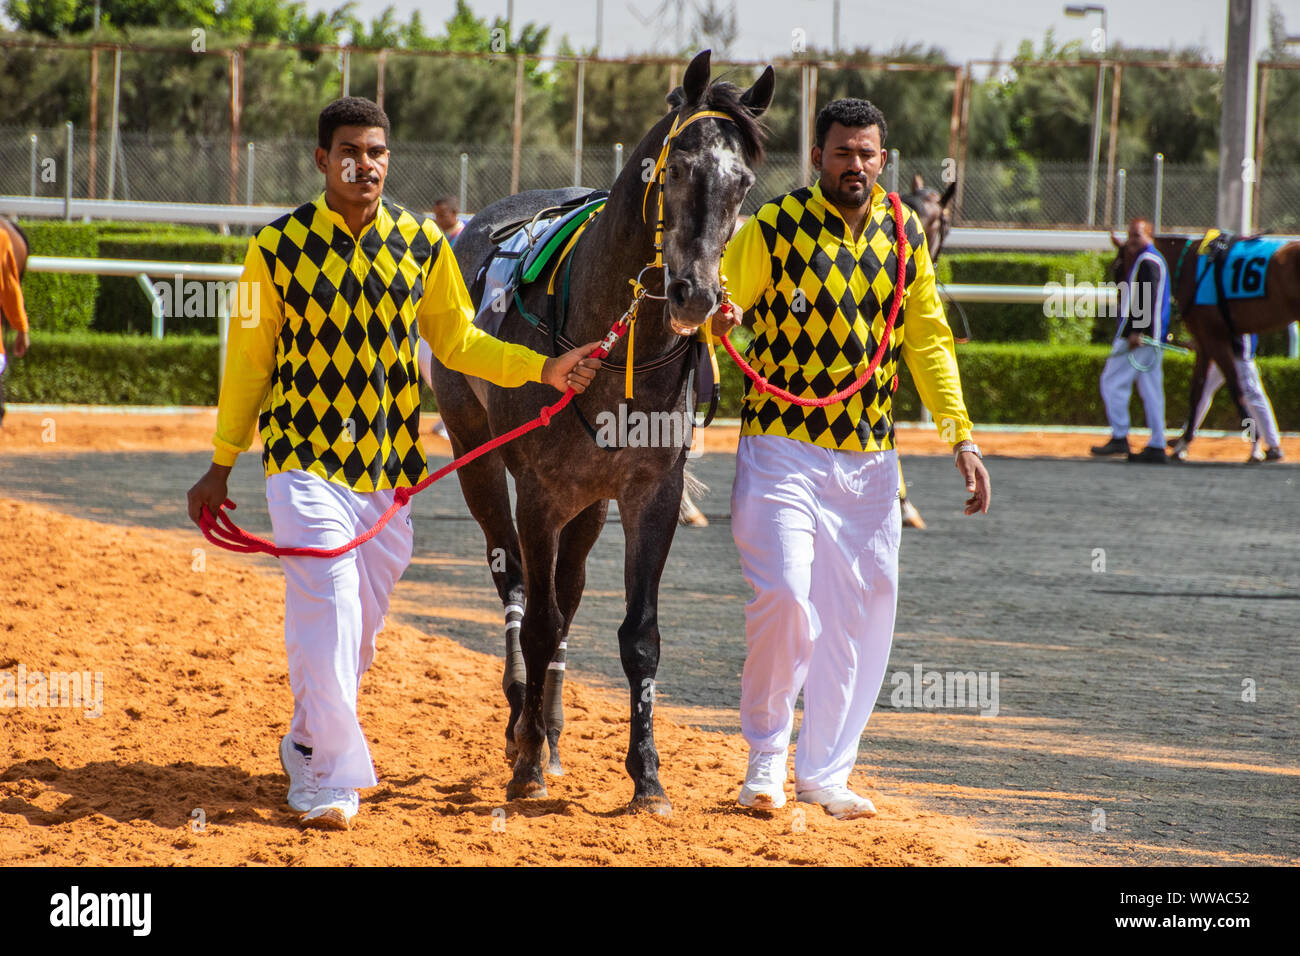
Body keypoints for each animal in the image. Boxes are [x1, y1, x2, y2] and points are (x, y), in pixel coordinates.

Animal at [432, 50, 774, 814]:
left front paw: (646, 777)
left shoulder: (650, 491)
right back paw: (521, 723)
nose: (696, 296)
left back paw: (551, 730)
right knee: (517, 585)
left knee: (567, 590)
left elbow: (637, 634)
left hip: (587, 502)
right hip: (477, 460)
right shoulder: (537, 491)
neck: (613, 343)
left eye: (742, 182)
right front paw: (526, 762)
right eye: (676, 168)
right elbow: (537, 620)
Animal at [1111, 229, 1300, 460]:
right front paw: (1182, 444)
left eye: (1116, 267)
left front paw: (1255, 446)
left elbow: (1236, 388)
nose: (1122, 313)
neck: (1188, 263)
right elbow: (1197, 391)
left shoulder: (1214, 339)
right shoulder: (1204, 342)